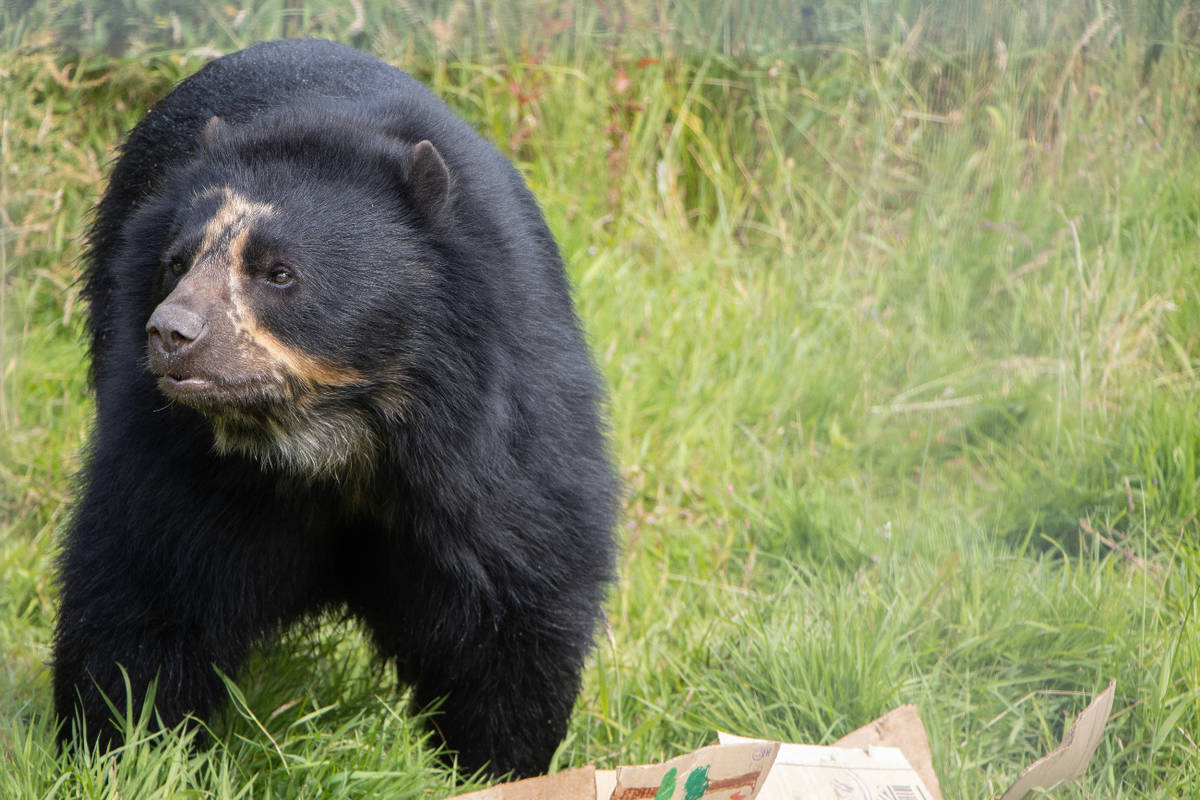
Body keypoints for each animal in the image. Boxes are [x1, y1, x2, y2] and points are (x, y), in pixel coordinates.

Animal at [53, 38, 619, 780]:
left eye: (279, 273)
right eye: (176, 263)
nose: (171, 334)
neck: (334, 425)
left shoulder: (495, 432)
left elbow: (513, 594)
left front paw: (496, 763)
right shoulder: (177, 452)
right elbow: (145, 580)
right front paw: (123, 748)